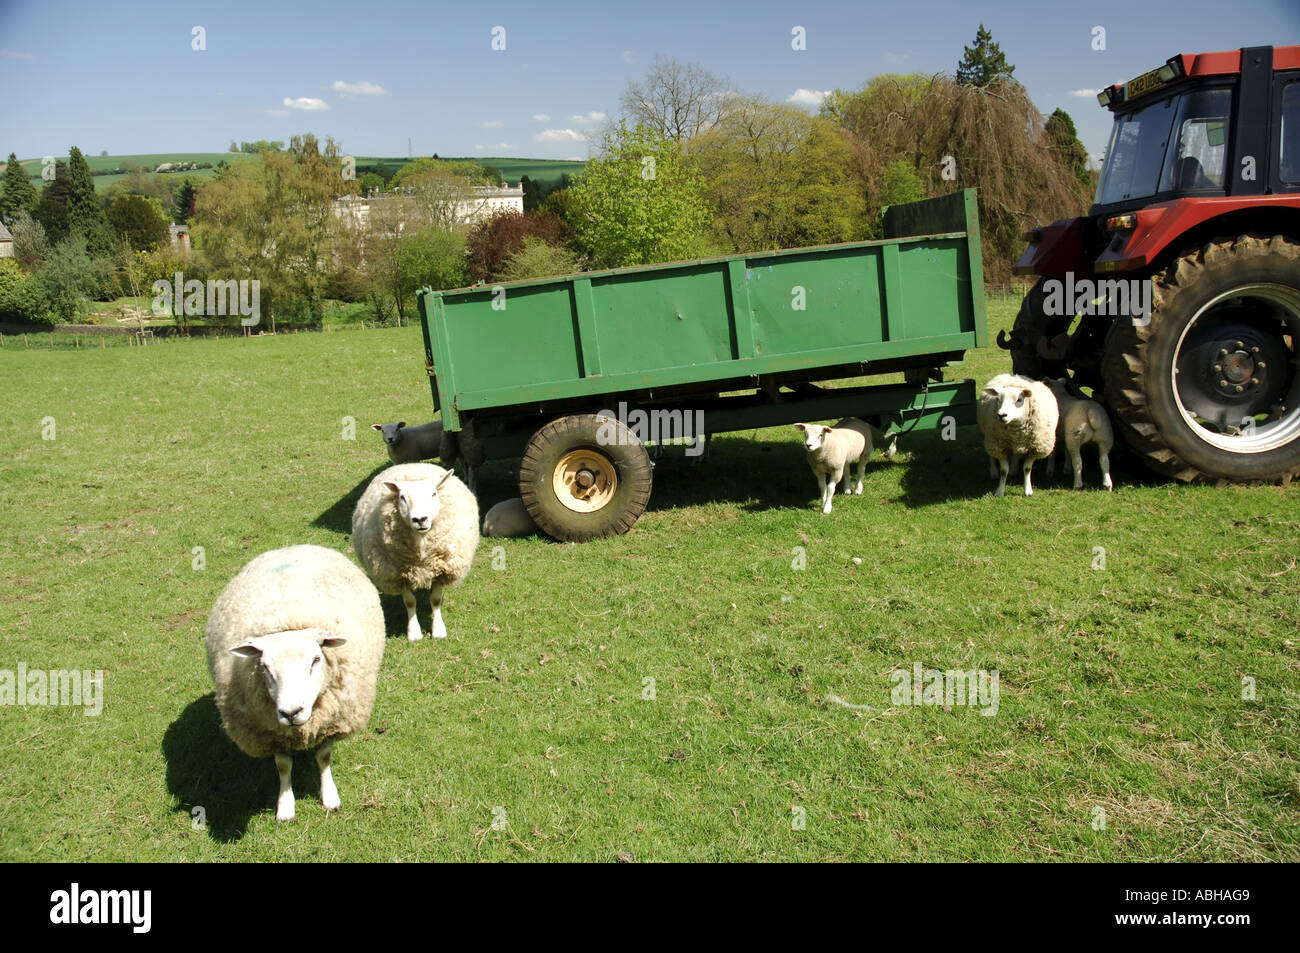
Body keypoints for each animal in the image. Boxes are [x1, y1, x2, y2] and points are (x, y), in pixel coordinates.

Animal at [204, 544, 385, 823]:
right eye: (265, 667)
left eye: (316, 660)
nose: (291, 712)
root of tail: (292, 547)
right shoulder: (271, 731)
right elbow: (283, 766)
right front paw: (286, 806)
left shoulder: (329, 722)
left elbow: (323, 757)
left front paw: (330, 796)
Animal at [351, 462, 479, 642]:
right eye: (402, 498)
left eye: (433, 494)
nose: (420, 519)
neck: (421, 550)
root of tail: (413, 464)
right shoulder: (399, 574)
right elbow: (410, 602)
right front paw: (414, 632)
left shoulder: (441, 569)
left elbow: (435, 599)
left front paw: (438, 630)